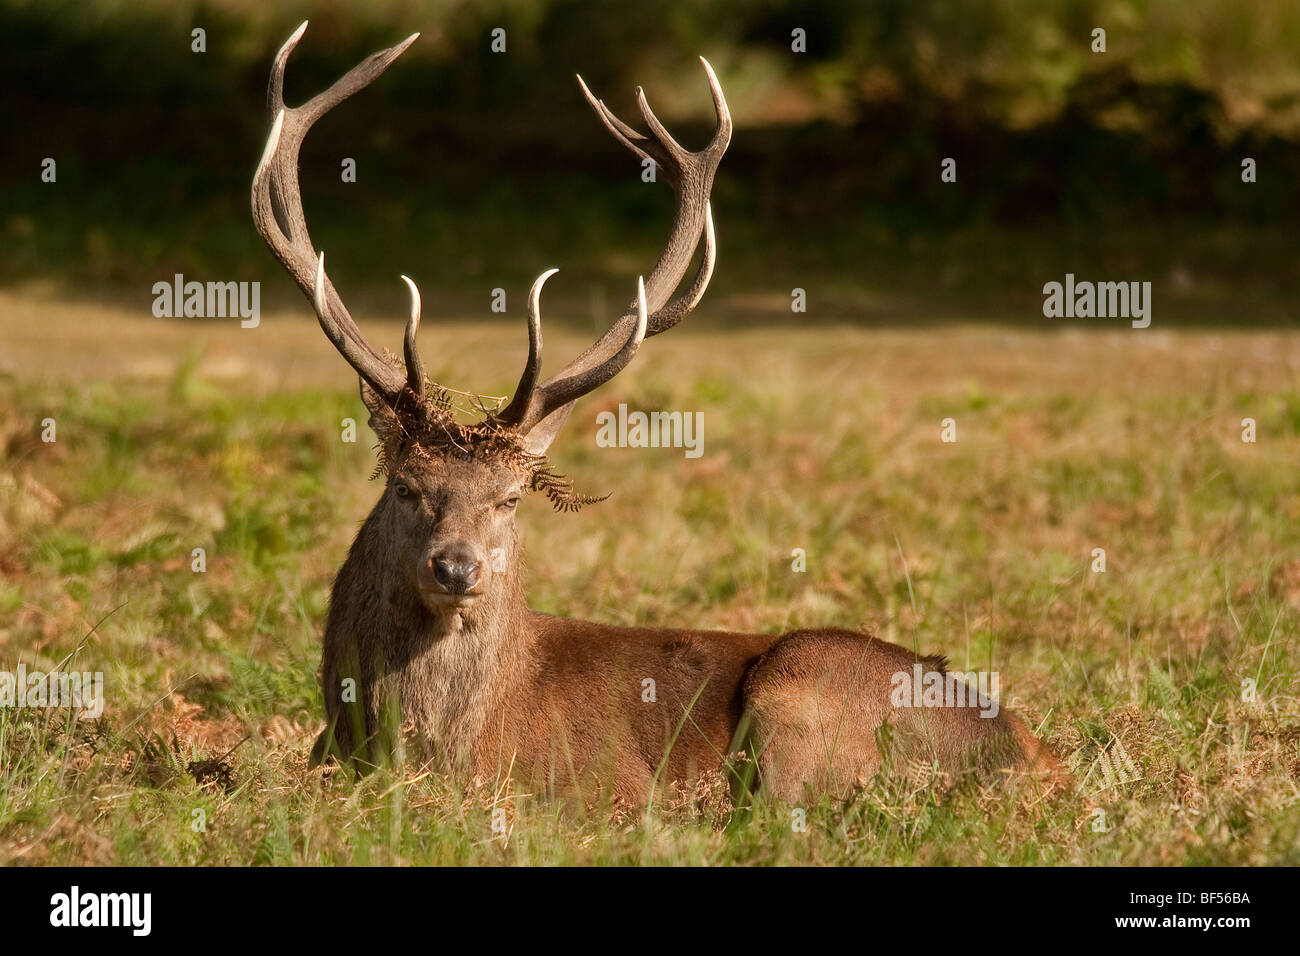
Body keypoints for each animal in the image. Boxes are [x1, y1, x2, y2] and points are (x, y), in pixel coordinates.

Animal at [251, 23, 1062, 807]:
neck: (450, 745)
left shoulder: (603, 788)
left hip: (801, 684)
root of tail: (1031, 755)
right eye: (406, 487)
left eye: (509, 499)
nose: (456, 567)